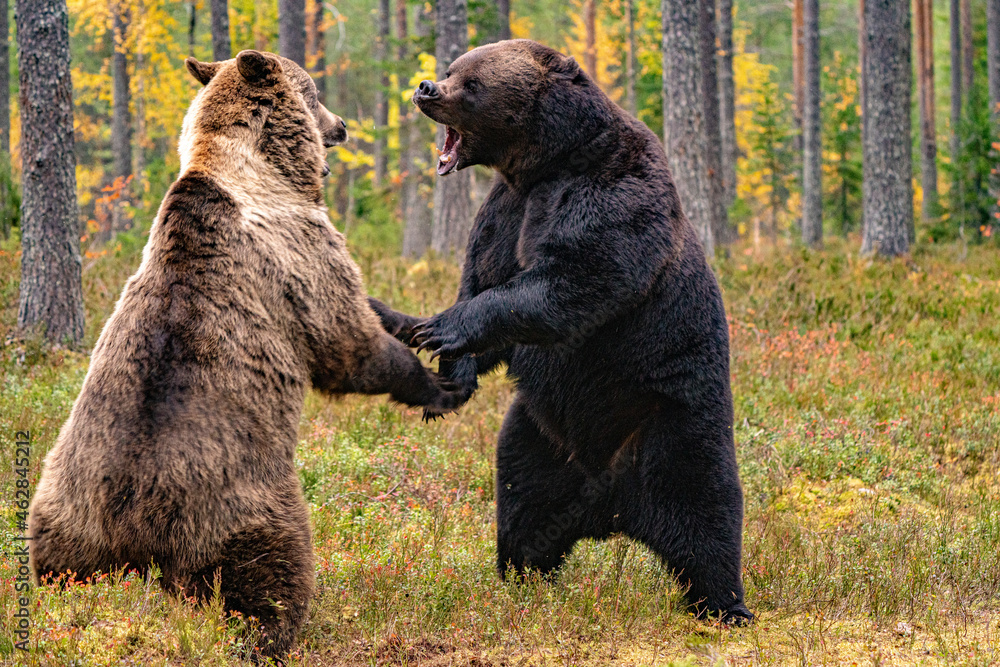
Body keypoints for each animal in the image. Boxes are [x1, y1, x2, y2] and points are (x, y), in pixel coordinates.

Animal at [28, 50, 463, 660]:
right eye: (314, 92)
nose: (341, 126)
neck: (260, 171)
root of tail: (131, 526)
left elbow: (363, 311)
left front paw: (411, 323)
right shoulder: (297, 249)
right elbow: (344, 336)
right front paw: (437, 388)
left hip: (65, 509)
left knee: (57, 570)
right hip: (238, 507)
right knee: (267, 574)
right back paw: (271, 634)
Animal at [371, 39, 753, 623]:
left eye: (472, 82)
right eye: (453, 67)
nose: (426, 88)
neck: (543, 163)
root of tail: (612, 503)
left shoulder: (611, 189)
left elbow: (577, 276)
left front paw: (442, 328)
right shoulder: (504, 210)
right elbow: (486, 274)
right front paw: (448, 370)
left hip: (671, 418)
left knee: (704, 506)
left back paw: (725, 603)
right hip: (539, 438)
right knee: (523, 501)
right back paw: (522, 575)